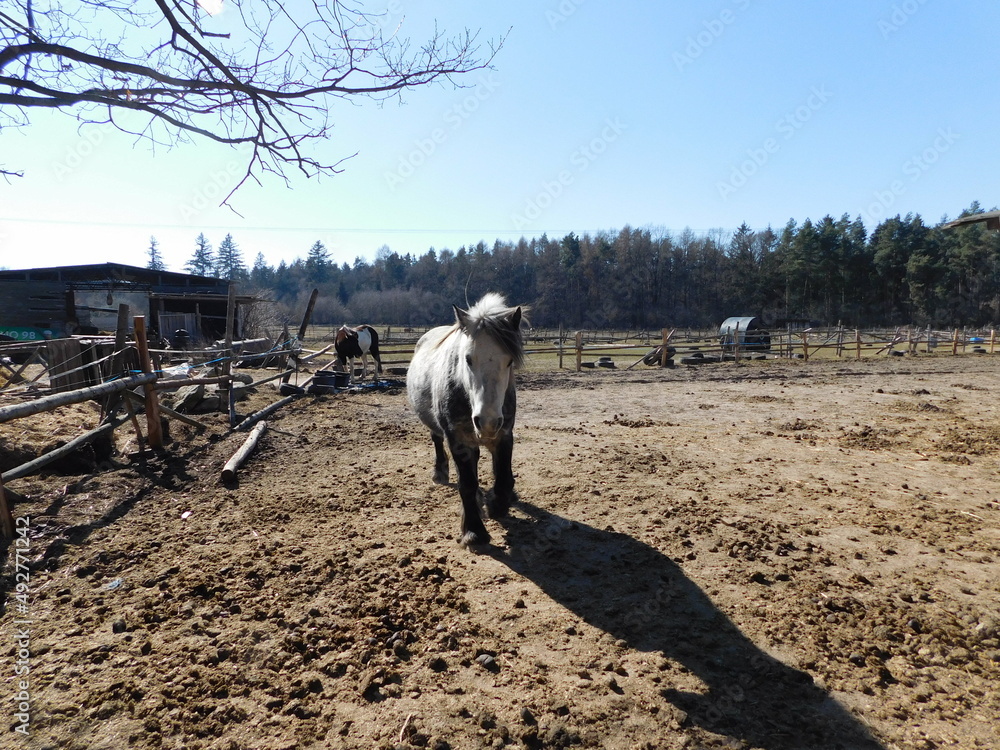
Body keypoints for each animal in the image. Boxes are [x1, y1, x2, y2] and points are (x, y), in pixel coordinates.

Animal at [407, 293, 526, 547]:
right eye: (468, 359)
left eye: (509, 361)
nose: (487, 421)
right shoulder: (458, 439)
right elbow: (467, 484)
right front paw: (474, 531)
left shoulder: (504, 434)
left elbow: (503, 478)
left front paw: (497, 505)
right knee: (437, 441)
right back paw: (440, 473)